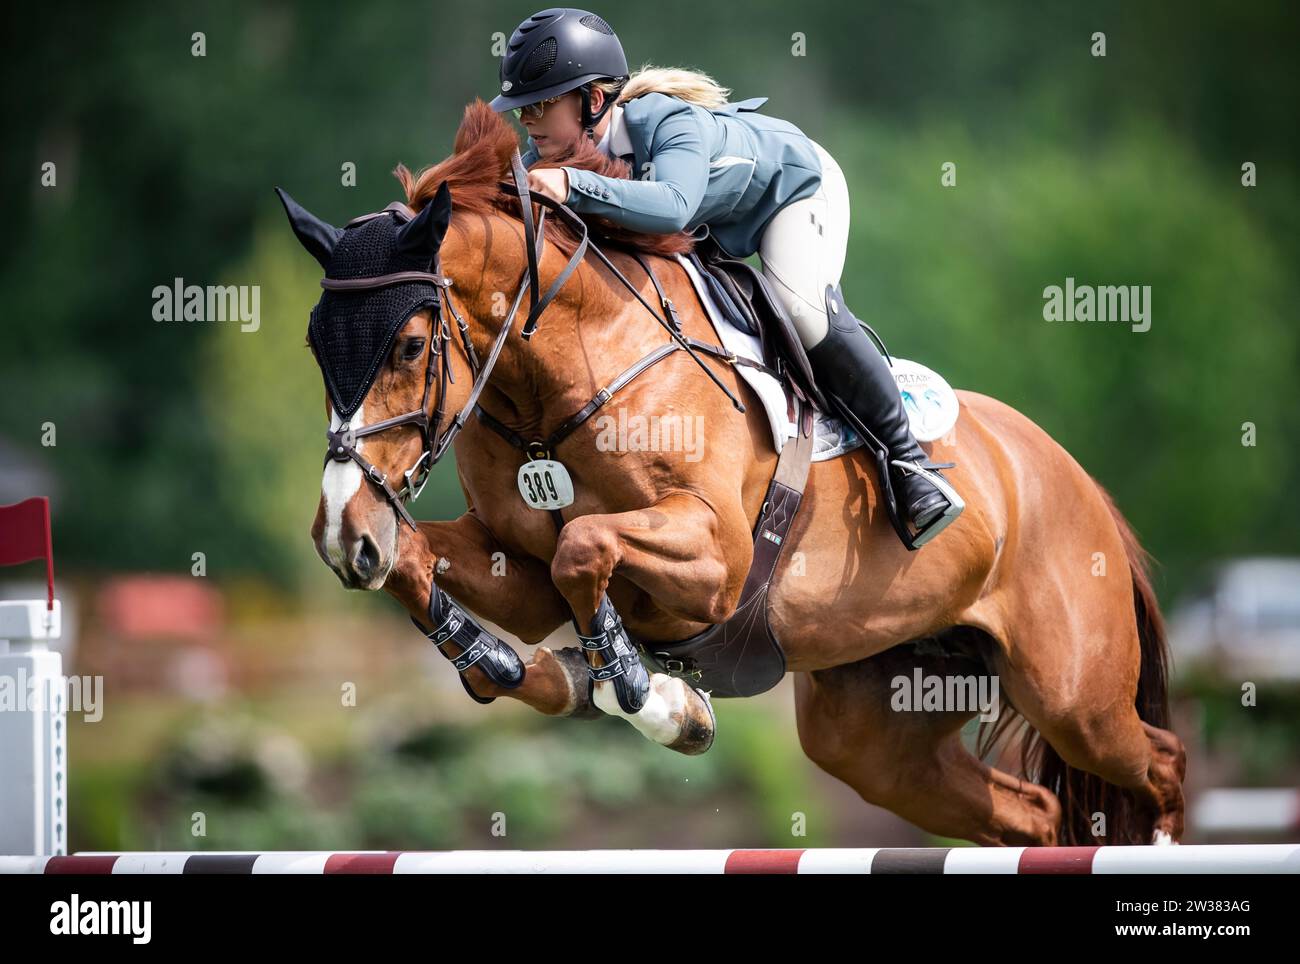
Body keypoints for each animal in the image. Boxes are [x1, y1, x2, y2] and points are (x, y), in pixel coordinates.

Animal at [279, 100, 1186, 846]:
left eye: (406, 345)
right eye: (315, 345)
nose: (340, 534)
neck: (559, 375)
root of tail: (1076, 480)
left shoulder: (715, 557)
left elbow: (584, 548)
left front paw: (653, 697)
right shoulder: (521, 574)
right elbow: (425, 564)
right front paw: (511, 667)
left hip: (1074, 696)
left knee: (1161, 762)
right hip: (878, 728)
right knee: (1031, 813)